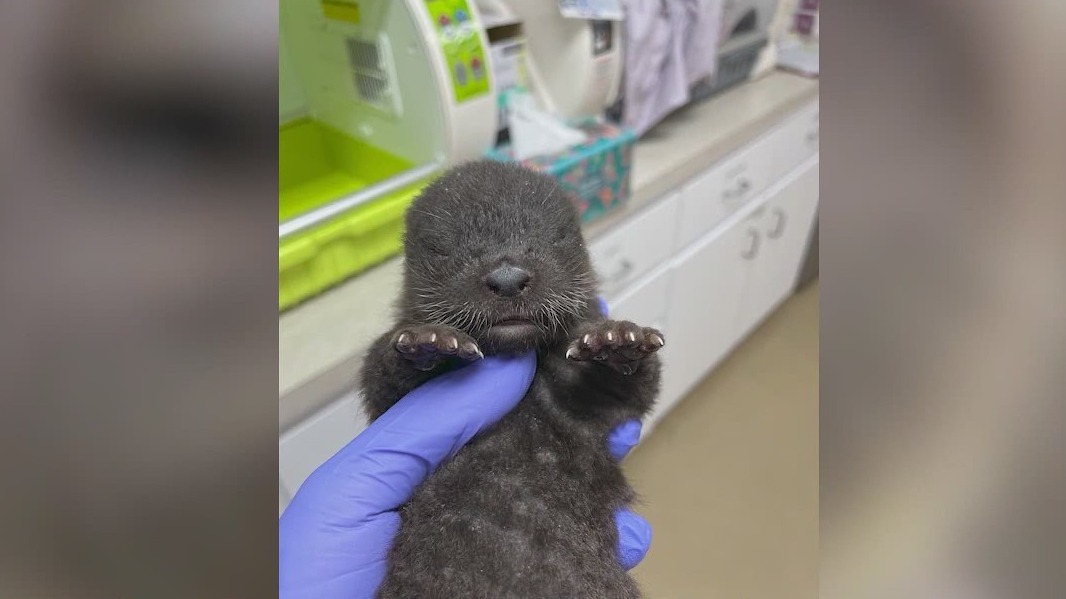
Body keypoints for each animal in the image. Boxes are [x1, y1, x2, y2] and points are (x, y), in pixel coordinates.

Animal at [359, 160, 664, 599]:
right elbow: (377, 377)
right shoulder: (383, 400)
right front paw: (428, 341)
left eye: (553, 239)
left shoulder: (589, 407)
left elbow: (629, 392)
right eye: (446, 249)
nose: (507, 277)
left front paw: (618, 340)